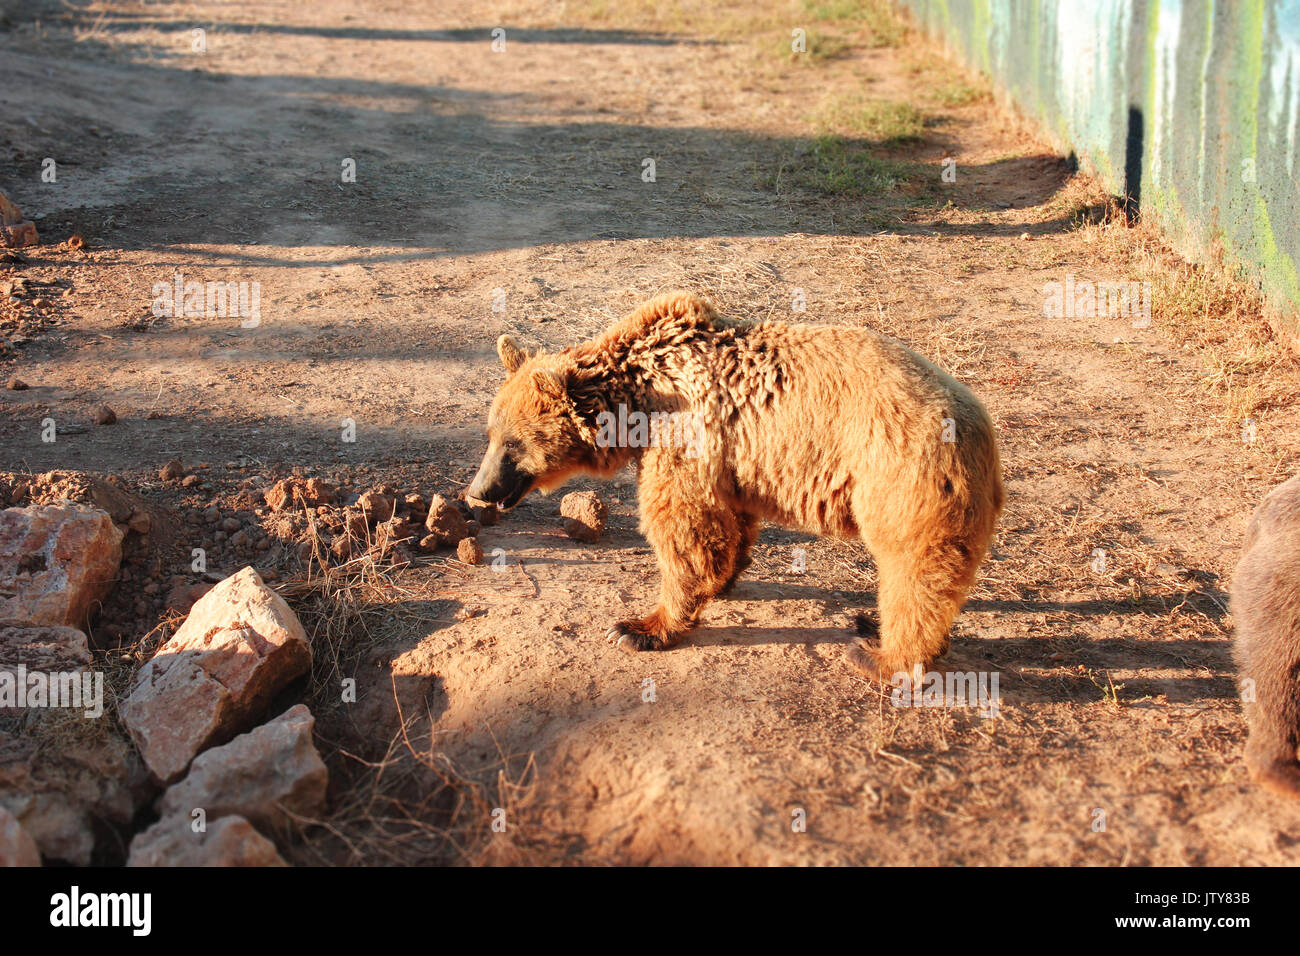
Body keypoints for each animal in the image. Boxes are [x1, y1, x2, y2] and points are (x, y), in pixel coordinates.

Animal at [465, 292, 1004, 679]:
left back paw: (881, 656)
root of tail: (981, 428)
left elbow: (683, 530)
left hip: (900, 477)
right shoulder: (736, 461)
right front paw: (722, 581)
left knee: (913, 570)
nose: (477, 490)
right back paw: (874, 622)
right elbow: (728, 525)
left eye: (513, 444)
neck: (639, 399)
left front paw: (640, 627)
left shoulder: (684, 433)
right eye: (490, 433)